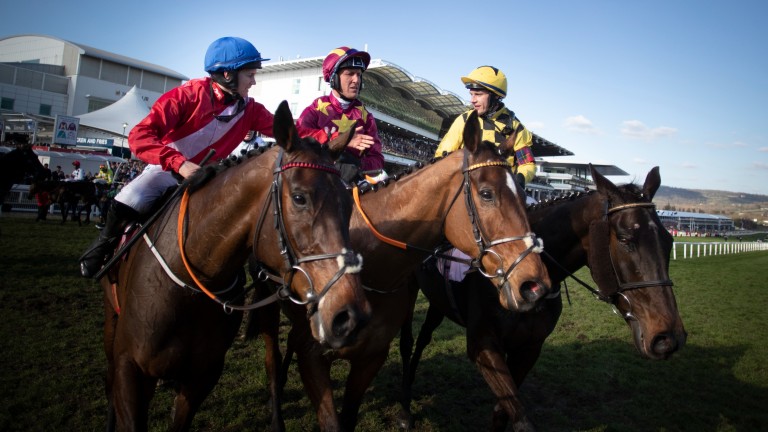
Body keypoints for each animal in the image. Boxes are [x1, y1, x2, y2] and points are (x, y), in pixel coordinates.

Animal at [101, 101, 372, 432]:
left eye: (349, 202)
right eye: (299, 198)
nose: (351, 316)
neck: (190, 281)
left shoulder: (203, 374)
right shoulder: (130, 368)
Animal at [247, 110, 552, 431]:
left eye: (523, 195)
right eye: (486, 194)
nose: (534, 285)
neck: (367, 260)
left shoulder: (371, 356)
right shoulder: (313, 357)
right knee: (272, 354)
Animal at [405, 165, 687, 431]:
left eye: (669, 240)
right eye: (625, 239)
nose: (668, 337)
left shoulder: (529, 347)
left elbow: (504, 411)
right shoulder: (482, 344)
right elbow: (519, 415)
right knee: (413, 340)